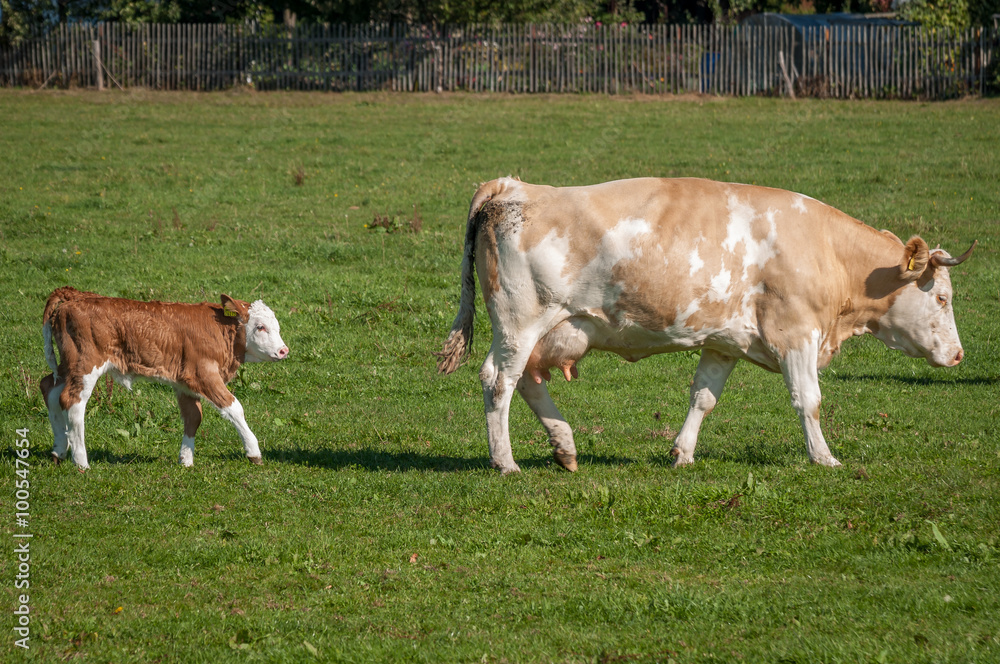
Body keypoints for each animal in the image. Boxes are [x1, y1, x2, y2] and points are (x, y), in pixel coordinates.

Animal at [40, 287, 290, 470]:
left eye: (277, 327)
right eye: (260, 327)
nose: (283, 351)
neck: (218, 332)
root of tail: (77, 296)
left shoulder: (185, 383)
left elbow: (193, 418)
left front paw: (186, 459)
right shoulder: (204, 375)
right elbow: (235, 408)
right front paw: (253, 451)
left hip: (68, 366)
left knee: (49, 388)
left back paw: (59, 450)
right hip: (85, 364)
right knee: (72, 402)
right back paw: (81, 461)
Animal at [435, 177, 975, 474]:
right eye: (942, 297)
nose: (958, 355)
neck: (826, 250)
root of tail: (512, 186)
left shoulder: (724, 342)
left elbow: (703, 398)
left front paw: (683, 453)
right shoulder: (796, 333)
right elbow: (809, 400)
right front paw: (824, 457)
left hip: (543, 331)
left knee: (526, 381)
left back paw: (564, 446)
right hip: (520, 321)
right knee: (498, 381)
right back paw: (506, 461)